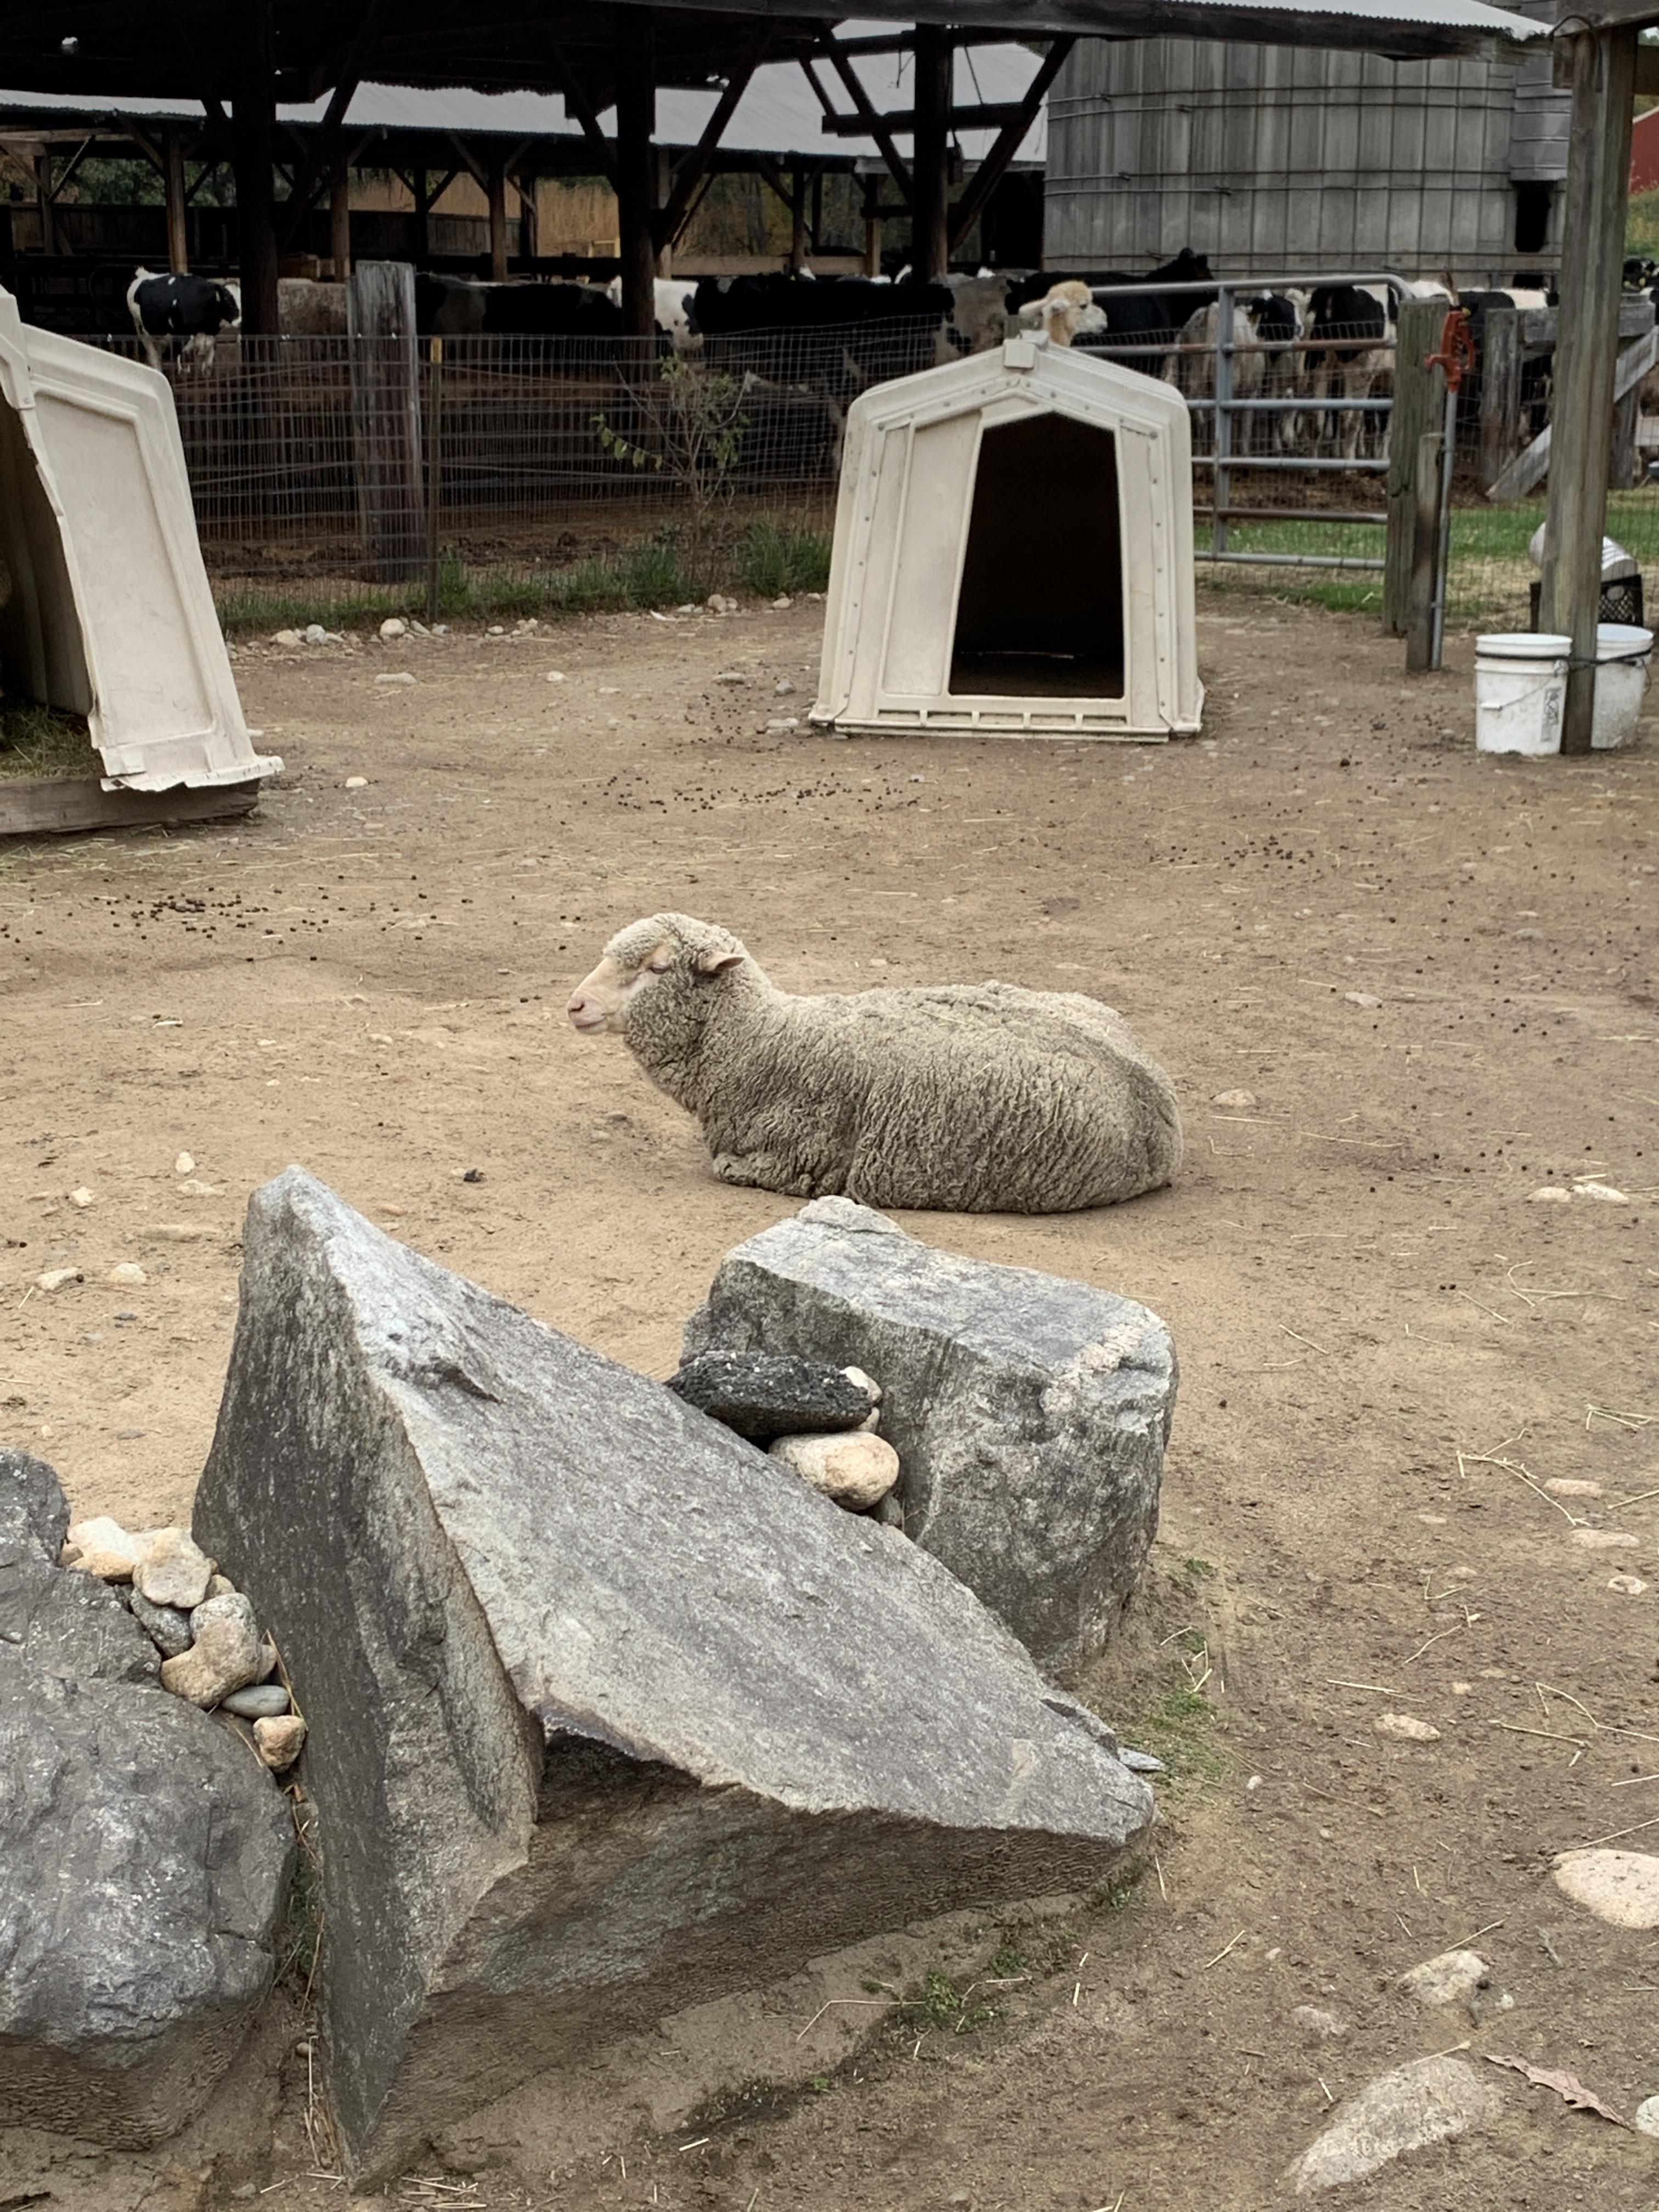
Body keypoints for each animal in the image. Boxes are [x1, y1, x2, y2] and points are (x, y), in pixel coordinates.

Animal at [566, 913, 1182, 1214]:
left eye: (657, 967)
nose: (575, 1004)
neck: (763, 1042)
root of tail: (1159, 1095)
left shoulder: (788, 1160)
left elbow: (730, 1168)